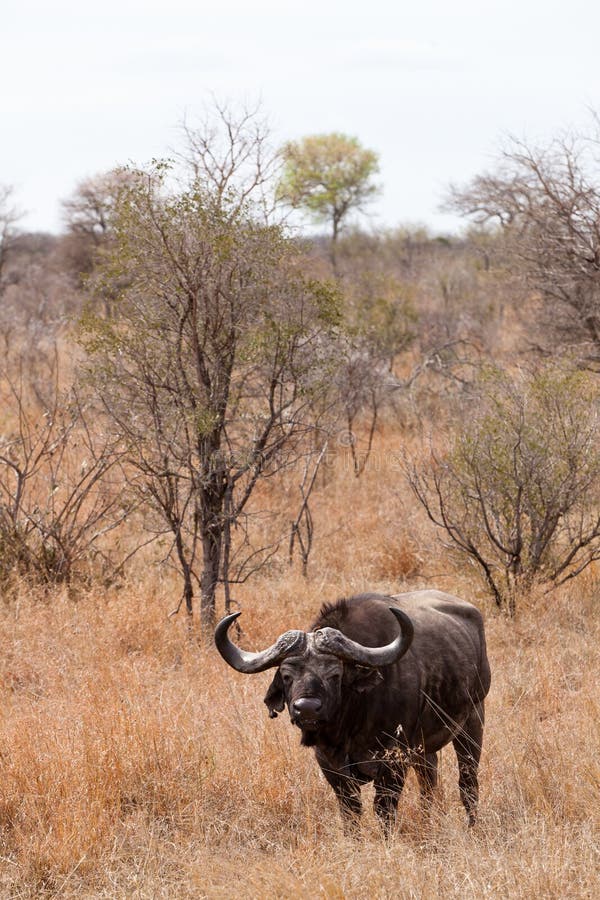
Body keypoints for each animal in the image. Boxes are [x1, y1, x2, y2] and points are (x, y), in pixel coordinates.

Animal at [215, 590, 491, 833]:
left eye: (335, 675)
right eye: (286, 675)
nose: (307, 709)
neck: (351, 724)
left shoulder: (394, 760)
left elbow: (384, 810)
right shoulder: (330, 765)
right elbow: (350, 811)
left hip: (473, 719)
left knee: (467, 781)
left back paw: (472, 827)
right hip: (424, 746)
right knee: (429, 781)